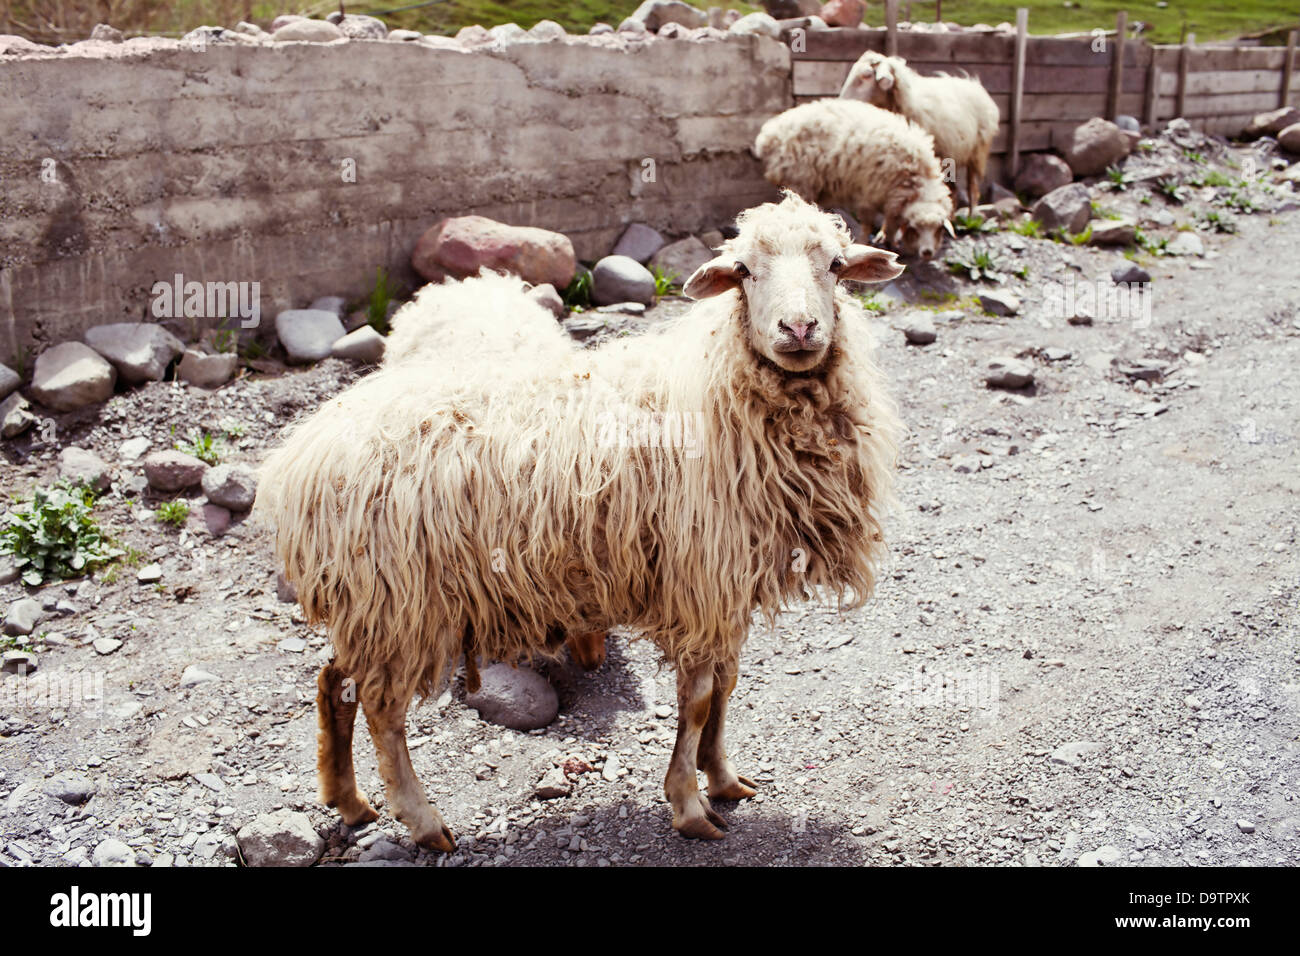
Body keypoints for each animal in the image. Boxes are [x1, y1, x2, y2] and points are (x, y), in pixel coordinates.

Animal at [254, 191, 904, 850]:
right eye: (744, 270)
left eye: (837, 264)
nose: (798, 330)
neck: (720, 388)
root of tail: (298, 457)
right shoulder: (700, 582)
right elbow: (699, 702)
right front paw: (689, 804)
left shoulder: (724, 587)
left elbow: (725, 688)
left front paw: (722, 778)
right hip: (399, 598)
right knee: (381, 710)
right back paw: (423, 821)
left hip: (373, 604)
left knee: (334, 684)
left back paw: (349, 800)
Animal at [755, 98, 955, 260]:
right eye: (916, 228)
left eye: (939, 229)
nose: (927, 253)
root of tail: (768, 135)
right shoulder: (869, 194)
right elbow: (868, 224)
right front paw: (867, 243)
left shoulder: (892, 198)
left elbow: (892, 222)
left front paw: (889, 240)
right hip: (799, 180)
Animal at [839, 50, 1000, 212]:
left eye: (866, 75)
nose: (842, 101)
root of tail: (974, 83)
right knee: (953, 193)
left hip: (976, 154)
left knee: (972, 192)